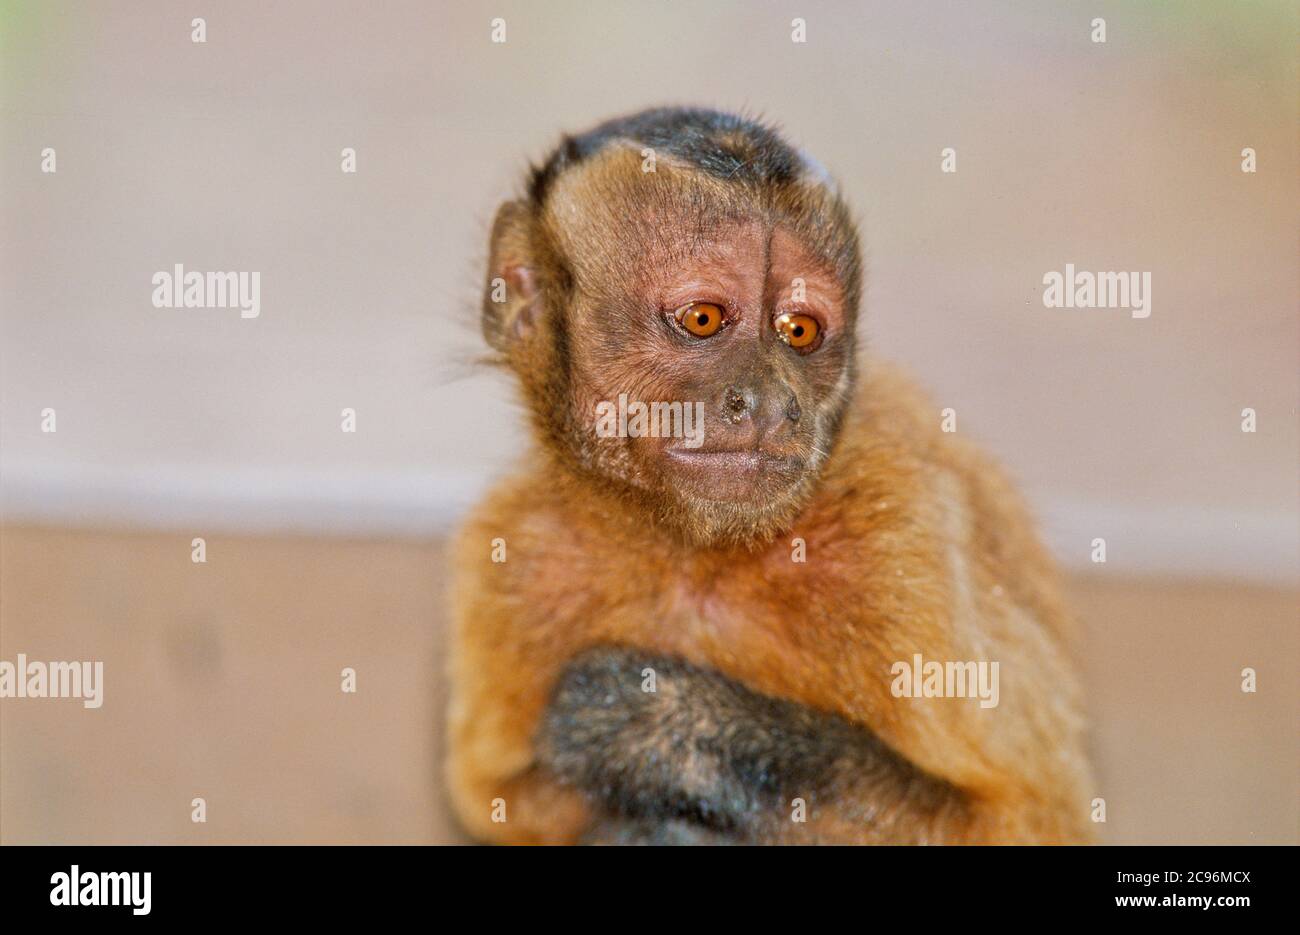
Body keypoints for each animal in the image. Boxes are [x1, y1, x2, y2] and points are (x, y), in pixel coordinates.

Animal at [446, 107, 1094, 845]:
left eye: (799, 330)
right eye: (703, 319)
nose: (771, 400)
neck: (693, 559)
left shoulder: (906, 529)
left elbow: (1019, 821)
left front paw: (655, 721)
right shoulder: (511, 558)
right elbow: (502, 802)